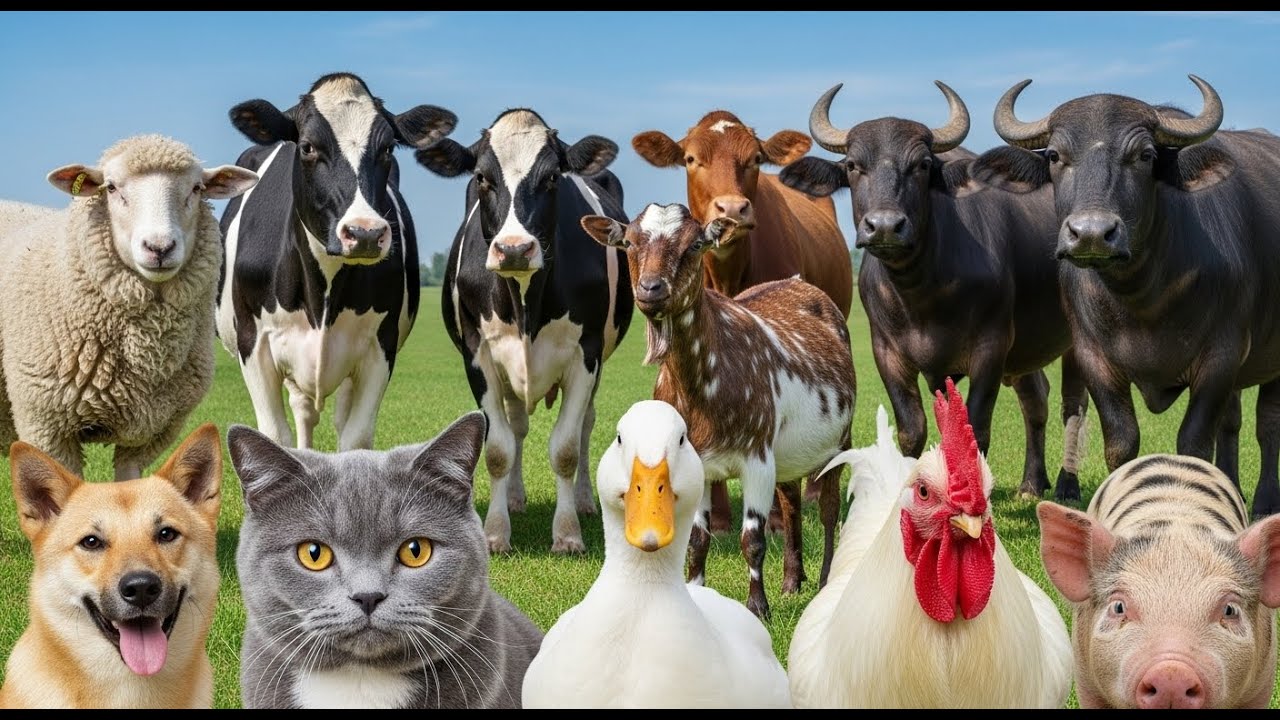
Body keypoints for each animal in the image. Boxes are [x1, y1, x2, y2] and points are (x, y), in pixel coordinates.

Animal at [217, 72, 457, 451]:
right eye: (307, 147)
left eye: (388, 149)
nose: (365, 233)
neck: (321, 293)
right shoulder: (253, 344)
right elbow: (275, 436)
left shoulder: (380, 345)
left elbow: (355, 437)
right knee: (304, 410)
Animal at [412, 108, 633, 554]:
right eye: (482, 176)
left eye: (552, 178)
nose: (514, 248)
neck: (525, 299)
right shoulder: (477, 355)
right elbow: (498, 449)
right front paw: (496, 533)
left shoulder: (586, 354)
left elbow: (566, 448)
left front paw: (567, 533)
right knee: (517, 427)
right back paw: (514, 499)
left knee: (585, 426)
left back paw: (584, 501)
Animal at [779, 81, 1089, 502]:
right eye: (853, 165)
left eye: (922, 165)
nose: (885, 226)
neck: (922, 294)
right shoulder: (886, 353)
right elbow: (912, 429)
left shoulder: (991, 347)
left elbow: (974, 430)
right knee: (1035, 400)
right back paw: (1030, 484)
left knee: (1072, 406)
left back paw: (1065, 487)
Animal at [992, 74, 1280, 517]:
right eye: (1055, 155)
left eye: (1144, 155)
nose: (1091, 234)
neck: (1143, 296)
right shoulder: (1093, 357)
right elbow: (1121, 443)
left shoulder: (1221, 356)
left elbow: (1193, 445)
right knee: (1232, 423)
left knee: (1267, 425)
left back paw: (1265, 502)